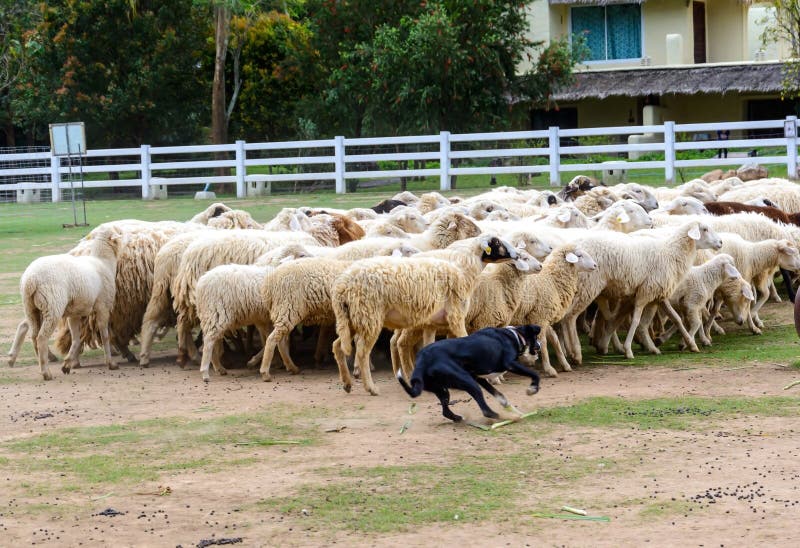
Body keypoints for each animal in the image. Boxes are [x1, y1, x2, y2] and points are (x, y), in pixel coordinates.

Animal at [7, 228, 122, 380]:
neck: (103, 262)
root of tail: (30, 279)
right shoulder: (103, 307)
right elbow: (105, 335)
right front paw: (111, 363)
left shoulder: (75, 313)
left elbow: (76, 339)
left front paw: (68, 364)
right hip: (52, 306)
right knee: (41, 338)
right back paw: (46, 372)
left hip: (31, 308)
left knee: (33, 335)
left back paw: (39, 363)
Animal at [331, 235, 520, 395]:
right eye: (497, 242)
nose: (517, 255)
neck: (463, 269)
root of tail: (342, 285)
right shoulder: (456, 316)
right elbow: (465, 341)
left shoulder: (431, 323)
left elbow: (429, 346)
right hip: (369, 316)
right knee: (363, 352)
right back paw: (371, 388)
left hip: (352, 318)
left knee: (338, 345)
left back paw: (347, 383)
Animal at [510, 244, 598, 377]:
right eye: (579, 255)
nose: (595, 265)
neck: (551, 280)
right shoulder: (540, 317)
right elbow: (544, 343)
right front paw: (549, 369)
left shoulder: (543, 317)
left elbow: (555, 339)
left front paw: (565, 365)